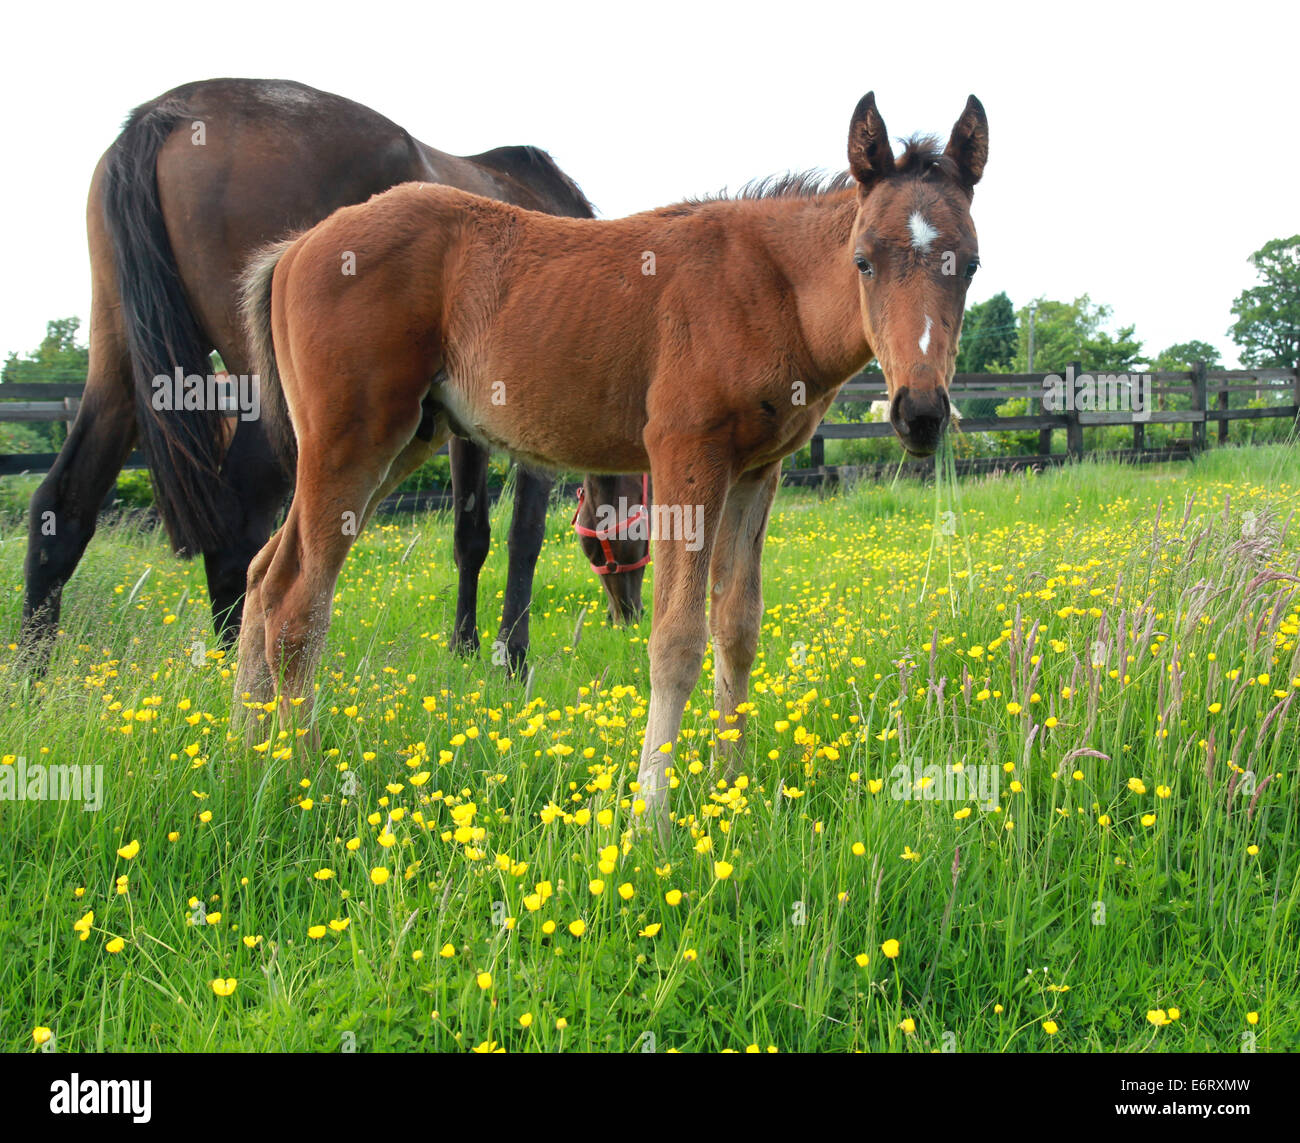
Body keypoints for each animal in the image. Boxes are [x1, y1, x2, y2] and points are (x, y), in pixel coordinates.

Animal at [18, 77, 647, 675]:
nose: (630, 615)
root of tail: (167, 114)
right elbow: (524, 536)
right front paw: (511, 657)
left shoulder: (466, 428)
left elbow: (471, 536)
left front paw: (464, 648)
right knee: (244, 534)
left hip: (119, 366)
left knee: (63, 505)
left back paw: (34, 671)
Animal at [236, 92, 987, 838]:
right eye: (863, 260)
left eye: (972, 264)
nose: (920, 413)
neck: (768, 286)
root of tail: (297, 246)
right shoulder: (686, 454)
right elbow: (677, 639)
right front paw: (650, 816)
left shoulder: (756, 472)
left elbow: (738, 629)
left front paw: (732, 789)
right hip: (351, 441)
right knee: (299, 597)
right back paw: (305, 776)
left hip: (403, 441)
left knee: (265, 573)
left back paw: (244, 749)